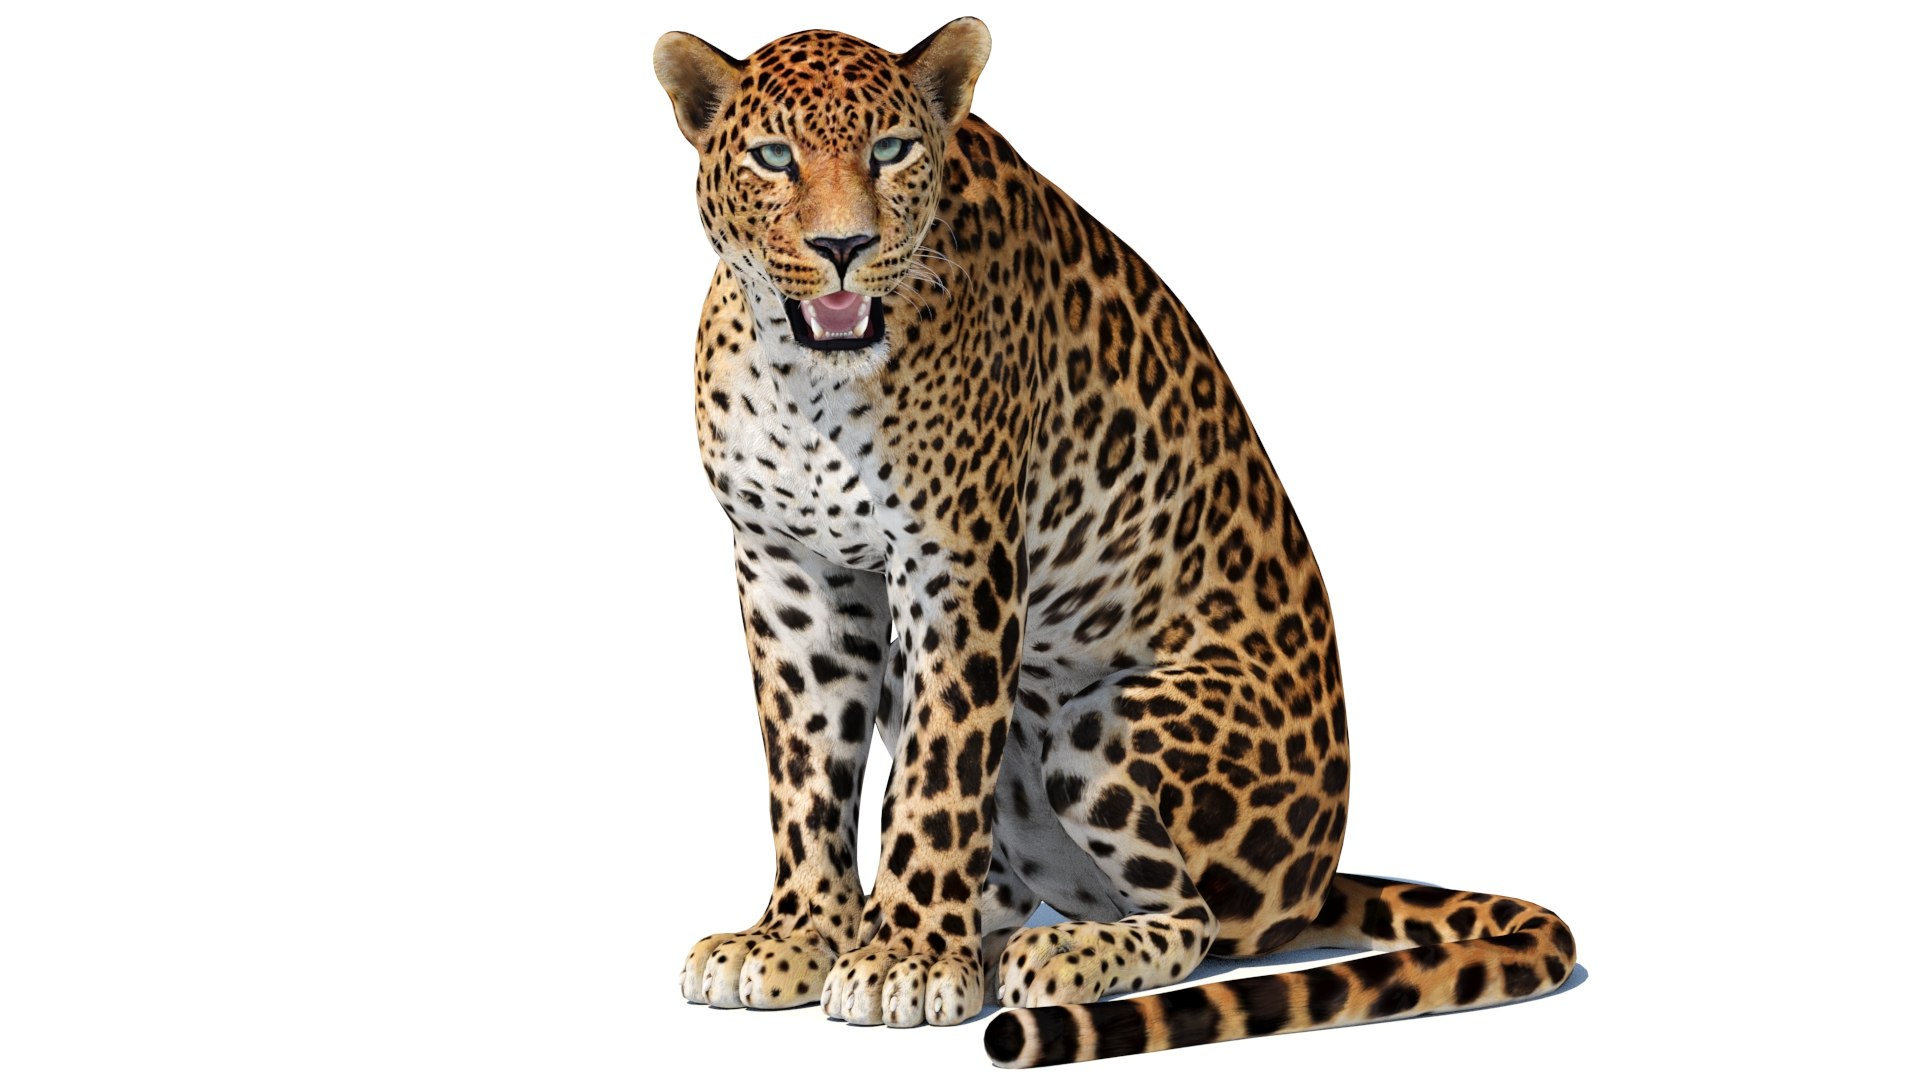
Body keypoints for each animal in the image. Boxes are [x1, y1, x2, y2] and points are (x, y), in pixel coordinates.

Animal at [653, 18, 1576, 1067]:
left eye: (890, 151)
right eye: (775, 158)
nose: (844, 246)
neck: (805, 378)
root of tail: (1315, 882)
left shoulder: (960, 562)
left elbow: (936, 779)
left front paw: (906, 960)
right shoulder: (787, 570)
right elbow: (807, 767)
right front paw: (799, 935)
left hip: (1110, 720)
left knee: (1194, 921)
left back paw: (1053, 955)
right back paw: (979, 934)